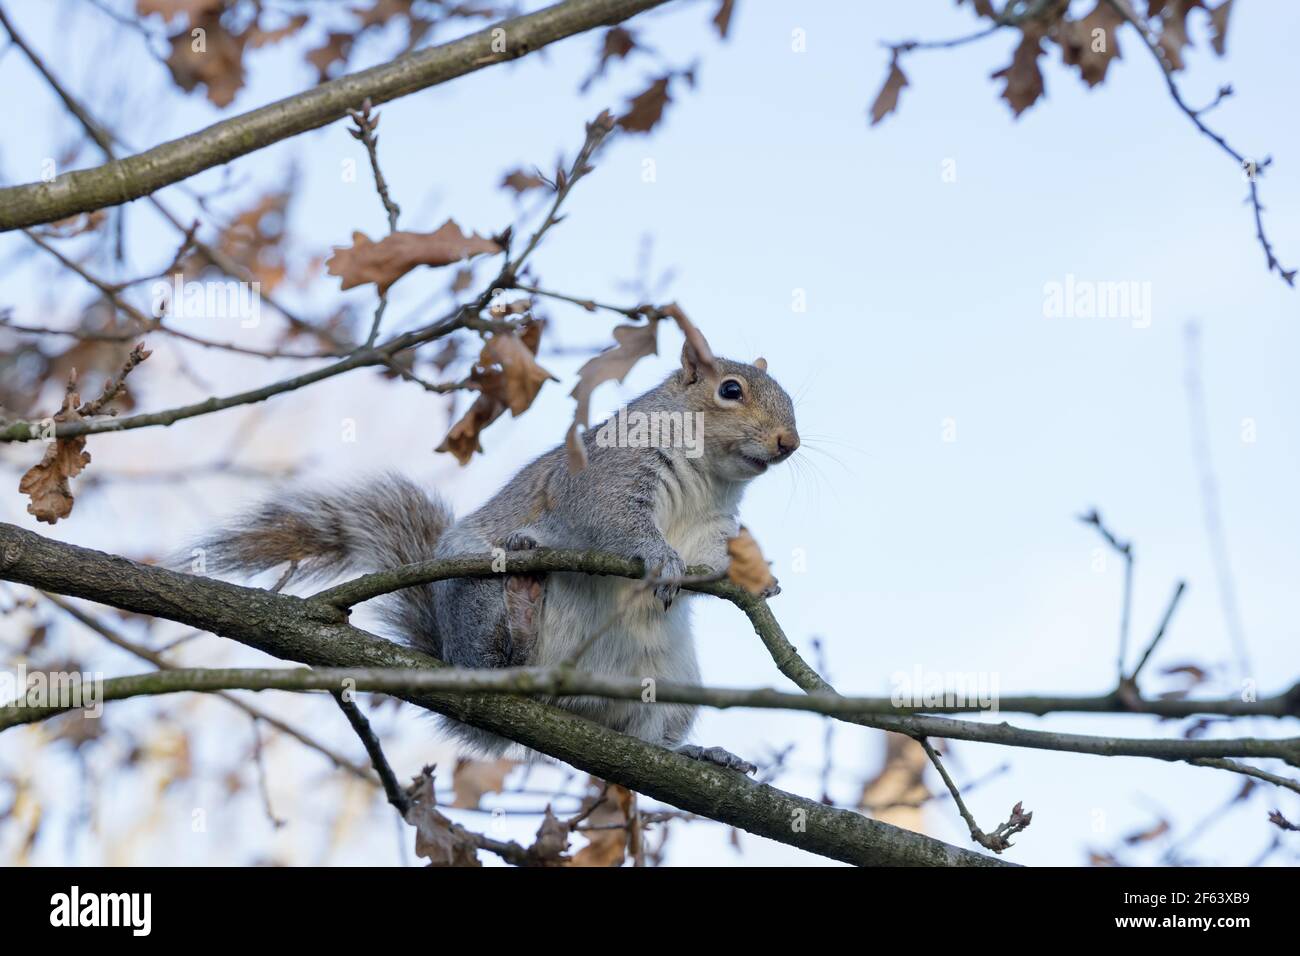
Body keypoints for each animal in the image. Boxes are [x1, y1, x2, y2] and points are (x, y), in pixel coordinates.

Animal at [201, 340, 800, 774]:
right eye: (730, 390)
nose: (788, 444)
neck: (707, 476)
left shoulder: (713, 525)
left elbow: (712, 558)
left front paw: (754, 577)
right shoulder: (605, 476)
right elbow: (614, 522)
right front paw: (659, 557)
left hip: (673, 683)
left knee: (645, 738)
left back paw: (696, 753)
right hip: (477, 600)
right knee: (503, 658)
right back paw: (522, 610)